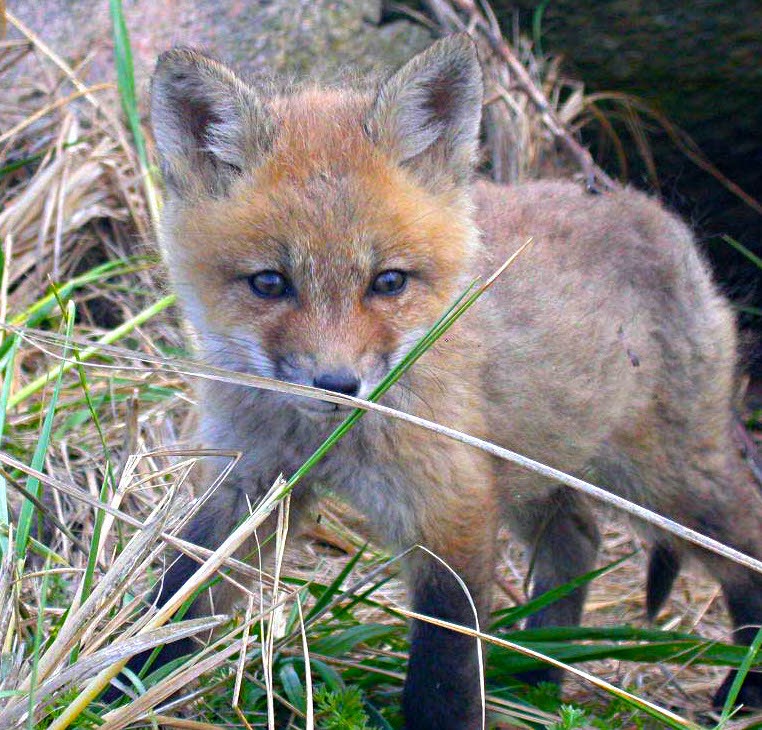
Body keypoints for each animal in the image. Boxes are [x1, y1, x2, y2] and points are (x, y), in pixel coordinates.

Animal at [116, 34, 762, 728]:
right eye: (269, 283)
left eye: (388, 281)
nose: (336, 384)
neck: (328, 444)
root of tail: (652, 211)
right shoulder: (246, 484)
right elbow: (173, 601)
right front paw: (115, 691)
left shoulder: (452, 505)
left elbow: (445, 665)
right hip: (533, 471)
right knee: (578, 539)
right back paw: (535, 678)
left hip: (661, 482)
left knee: (744, 540)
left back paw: (745, 684)